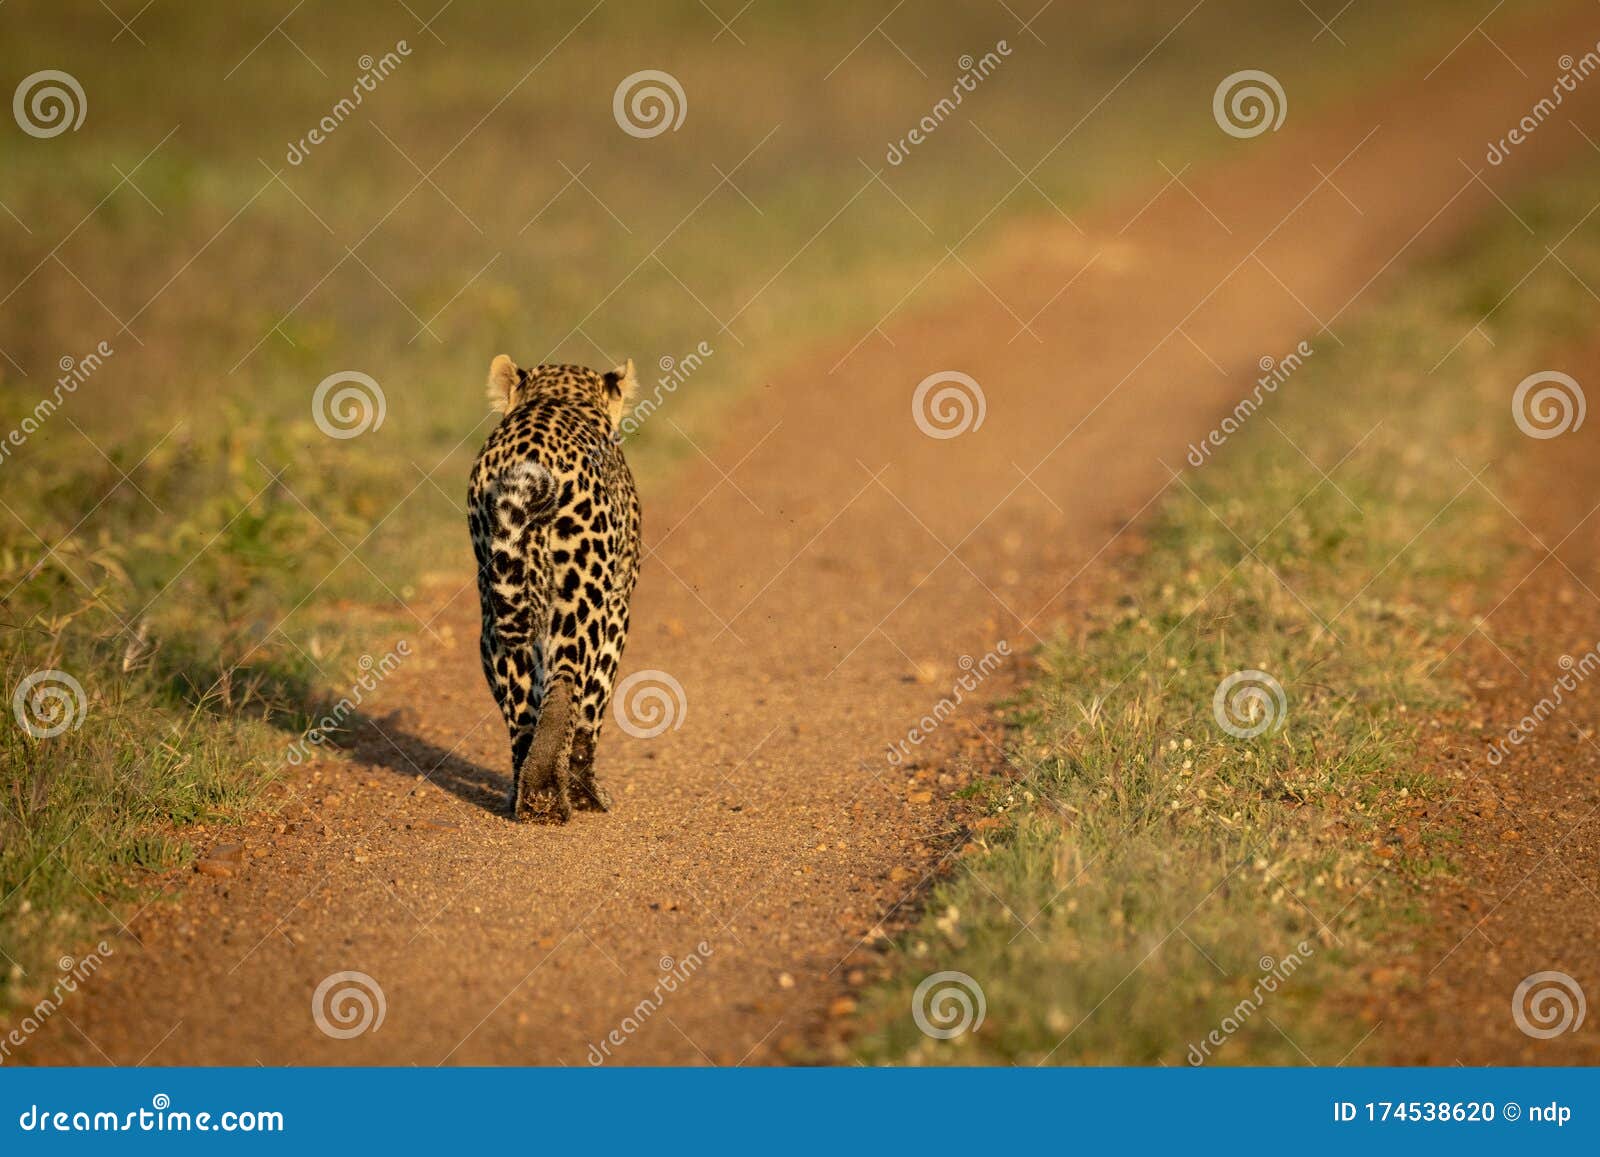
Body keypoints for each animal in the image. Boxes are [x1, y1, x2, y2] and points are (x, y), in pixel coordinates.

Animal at [467, 355, 642, 822]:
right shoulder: (618, 602)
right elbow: (595, 701)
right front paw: (586, 791)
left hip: (499, 607)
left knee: (521, 707)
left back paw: (527, 795)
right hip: (582, 594)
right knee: (566, 680)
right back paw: (552, 794)